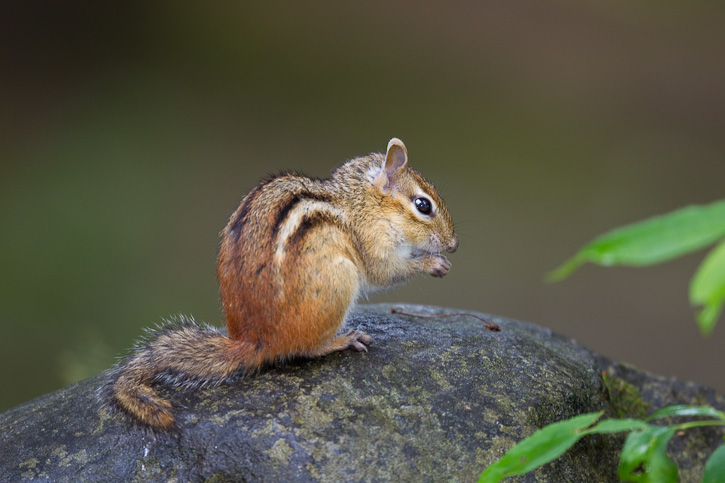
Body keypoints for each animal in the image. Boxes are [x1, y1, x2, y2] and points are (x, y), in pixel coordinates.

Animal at [100, 138, 458, 430]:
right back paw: (344, 339)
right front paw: (432, 263)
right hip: (339, 281)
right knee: (306, 349)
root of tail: (254, 341)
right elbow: (384, 272)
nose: (454, 245)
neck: (360, 201)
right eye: (423, 205)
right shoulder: (373, 242)